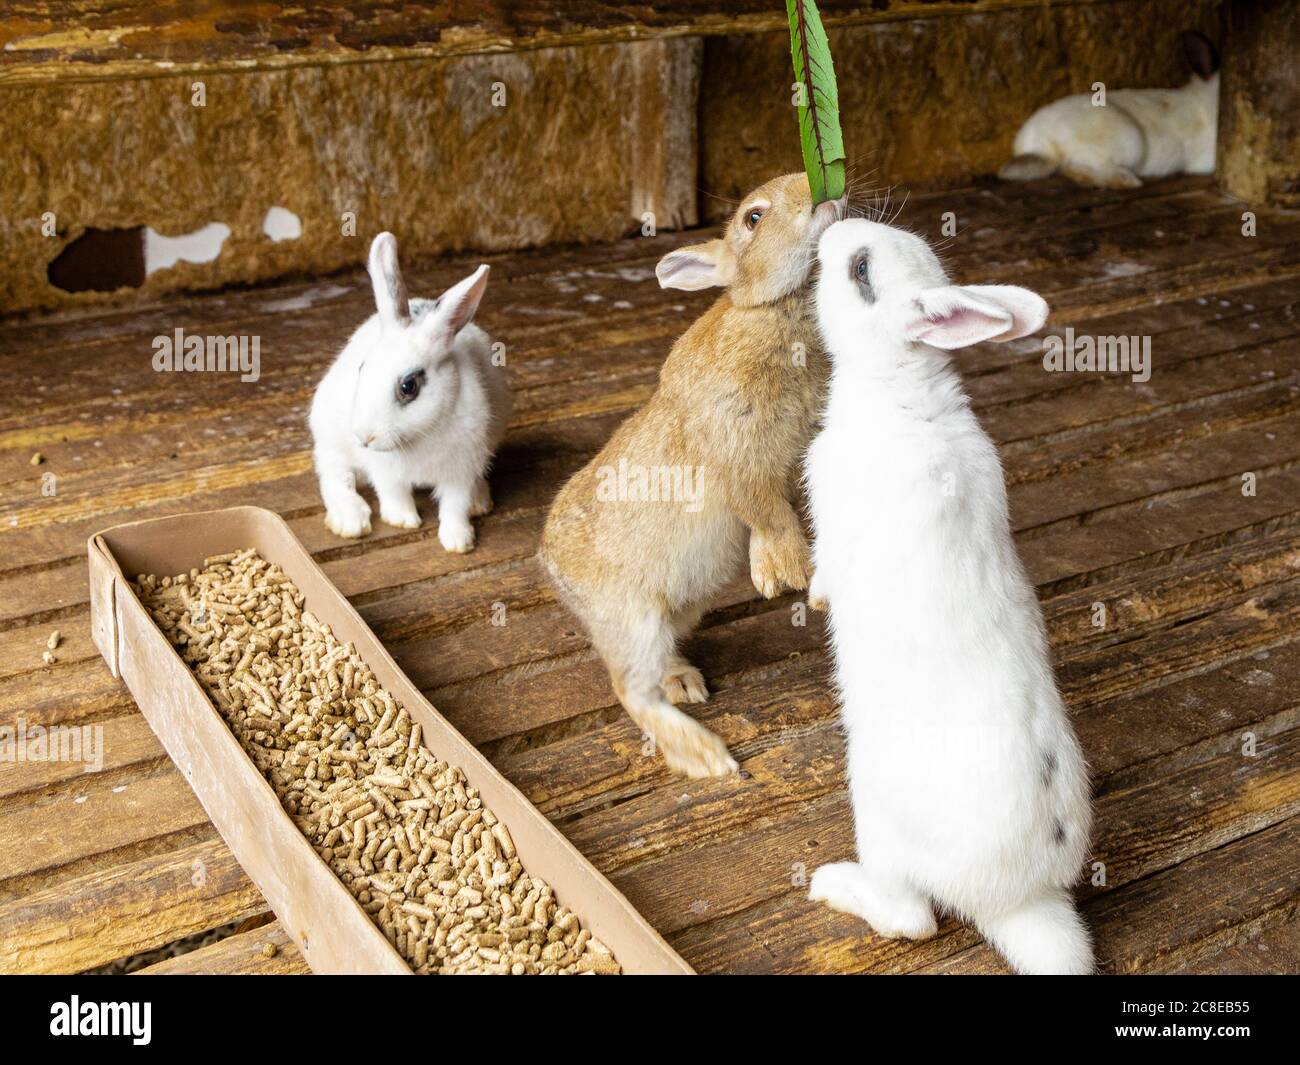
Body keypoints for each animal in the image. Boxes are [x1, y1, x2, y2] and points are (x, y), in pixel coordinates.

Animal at [310, 232, 511, 552]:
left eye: (408, 386)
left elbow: (454, 506)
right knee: (334, 475)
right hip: (329, 436)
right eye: (362, 368)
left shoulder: (461, 470)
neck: (418, 435)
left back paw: (480, 501)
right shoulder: (385, 471)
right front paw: (403, 520)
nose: (364, 437)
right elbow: (393, 494)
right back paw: (350, 520)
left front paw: (458, 541)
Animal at [540, 173, 845, 778]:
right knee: (629, 689)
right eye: (753, 217)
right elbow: (767, 513)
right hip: (632, 617)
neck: (774, 309)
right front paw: (790, 573)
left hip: (677, 613)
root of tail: (548, 566)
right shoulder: (738, 454)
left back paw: (684, 684)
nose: (819, 191)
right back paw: (706, 757)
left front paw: (791, 578)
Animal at [803, 217, 1094, 975]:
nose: (832, 223)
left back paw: (833, 884)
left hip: (876, 813)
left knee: (913, 919)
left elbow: (825, 566)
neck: (903, 391)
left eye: (862, 269)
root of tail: (1022, 898)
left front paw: (816, 599)